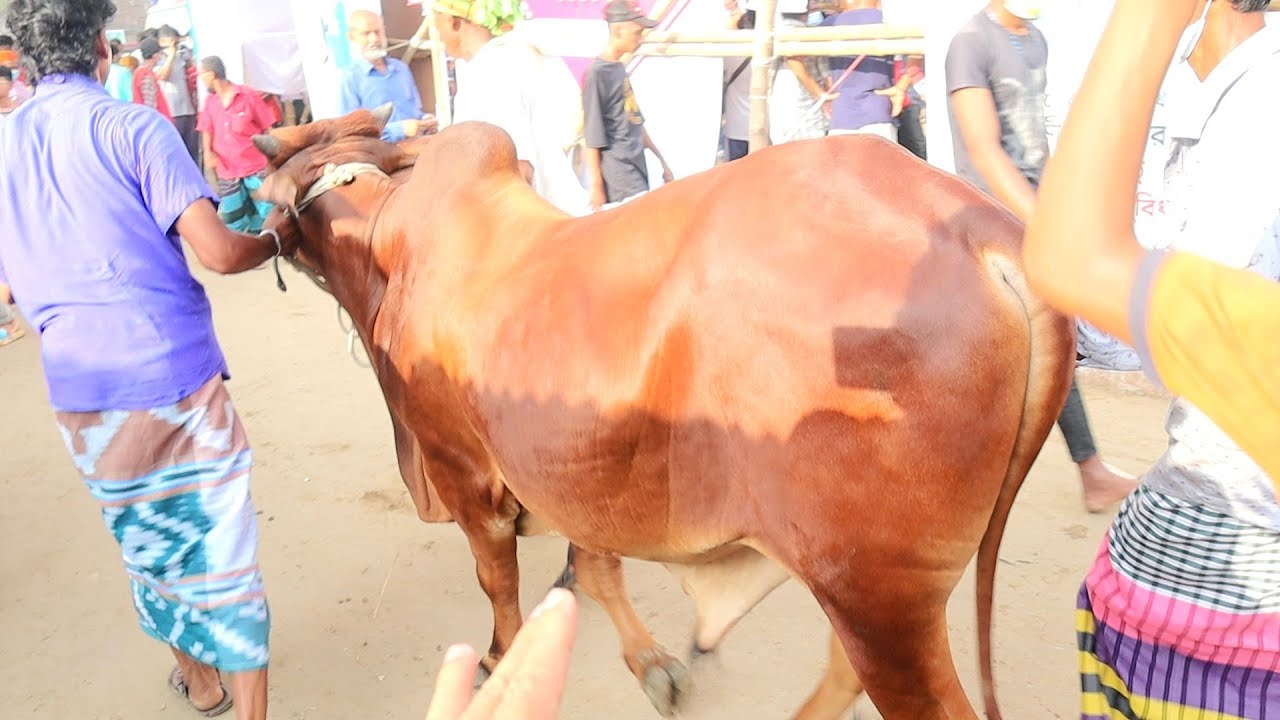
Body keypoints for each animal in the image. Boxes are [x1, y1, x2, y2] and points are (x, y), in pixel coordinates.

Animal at [249, 106, 1073, 720]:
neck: (387, 245)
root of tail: (976, 228)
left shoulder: (464, 476)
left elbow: (501, 588)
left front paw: (498, 663)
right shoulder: (578, 470)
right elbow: (596, 568)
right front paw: (653, 665)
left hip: (881, 602)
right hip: (863, 590)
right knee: (841, 674)